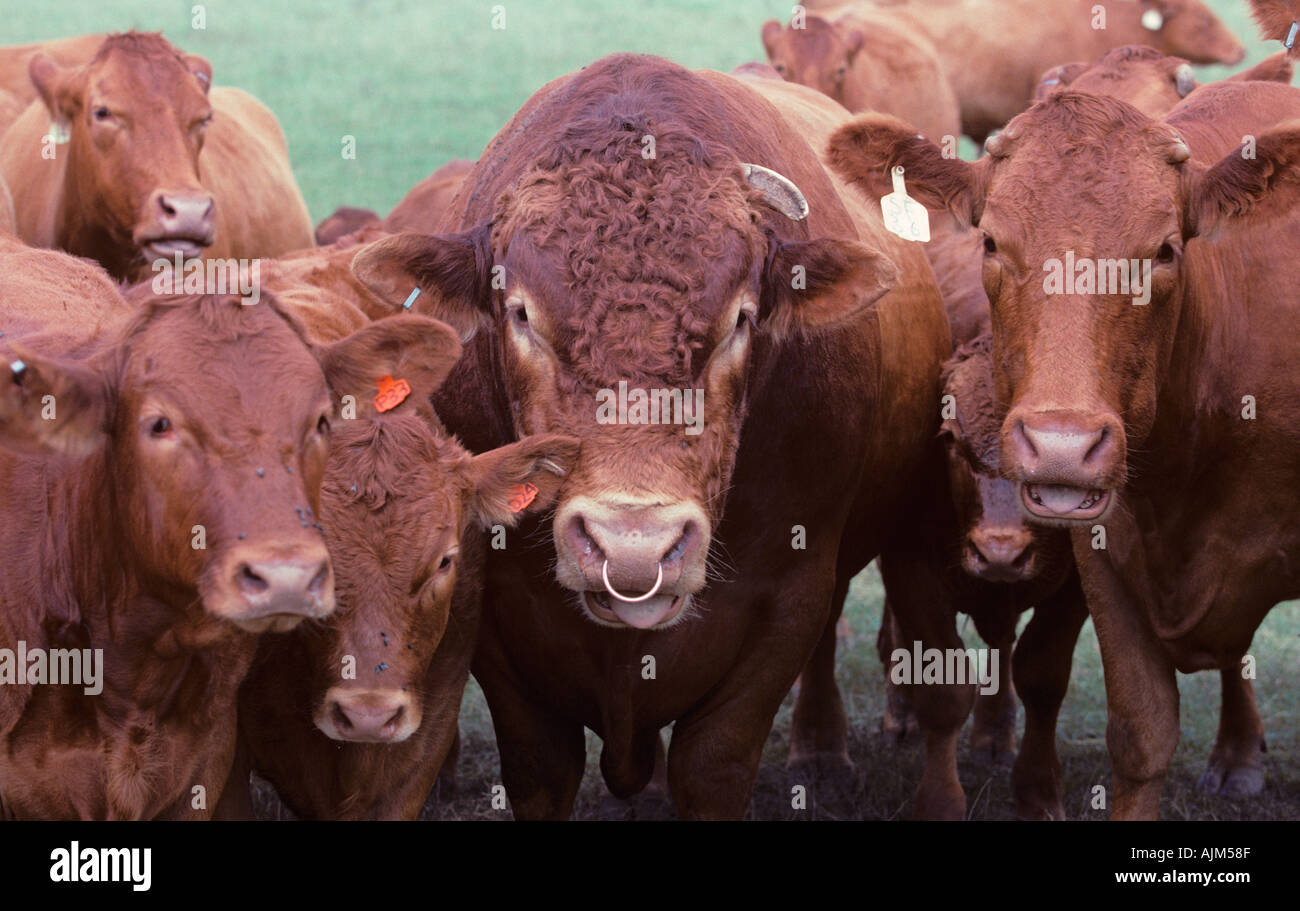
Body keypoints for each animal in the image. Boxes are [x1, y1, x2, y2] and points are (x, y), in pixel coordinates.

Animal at [346, 52, 953, 819]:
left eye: (741, 319)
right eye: (521, 314)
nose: (632, 548)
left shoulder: (789, 601)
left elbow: (714, 762)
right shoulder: (498, 626)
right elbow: (542, 766)